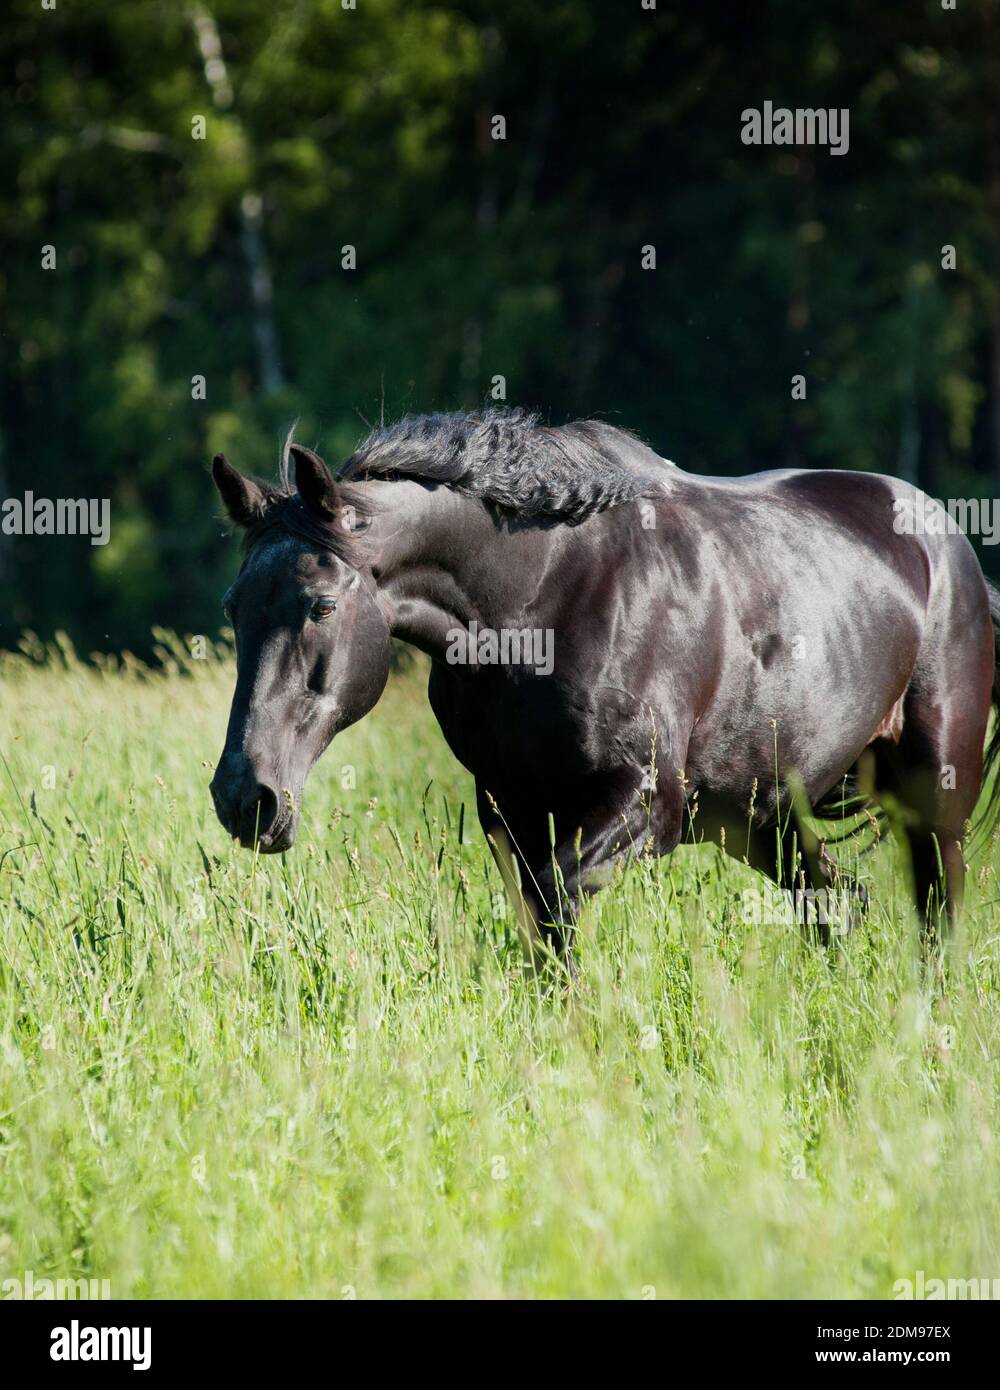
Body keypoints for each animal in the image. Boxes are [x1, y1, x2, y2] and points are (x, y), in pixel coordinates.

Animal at [209, 407, 1000, 957]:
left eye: (321, 605)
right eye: (234, 606)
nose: (246, 798)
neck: (542, 602)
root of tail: (950, 545)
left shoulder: (646, 803)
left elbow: (557, 901)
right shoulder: (511, 808)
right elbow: (538, 926)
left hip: (935, 794)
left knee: (938, 913)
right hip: (761, 814)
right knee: (840, 904)